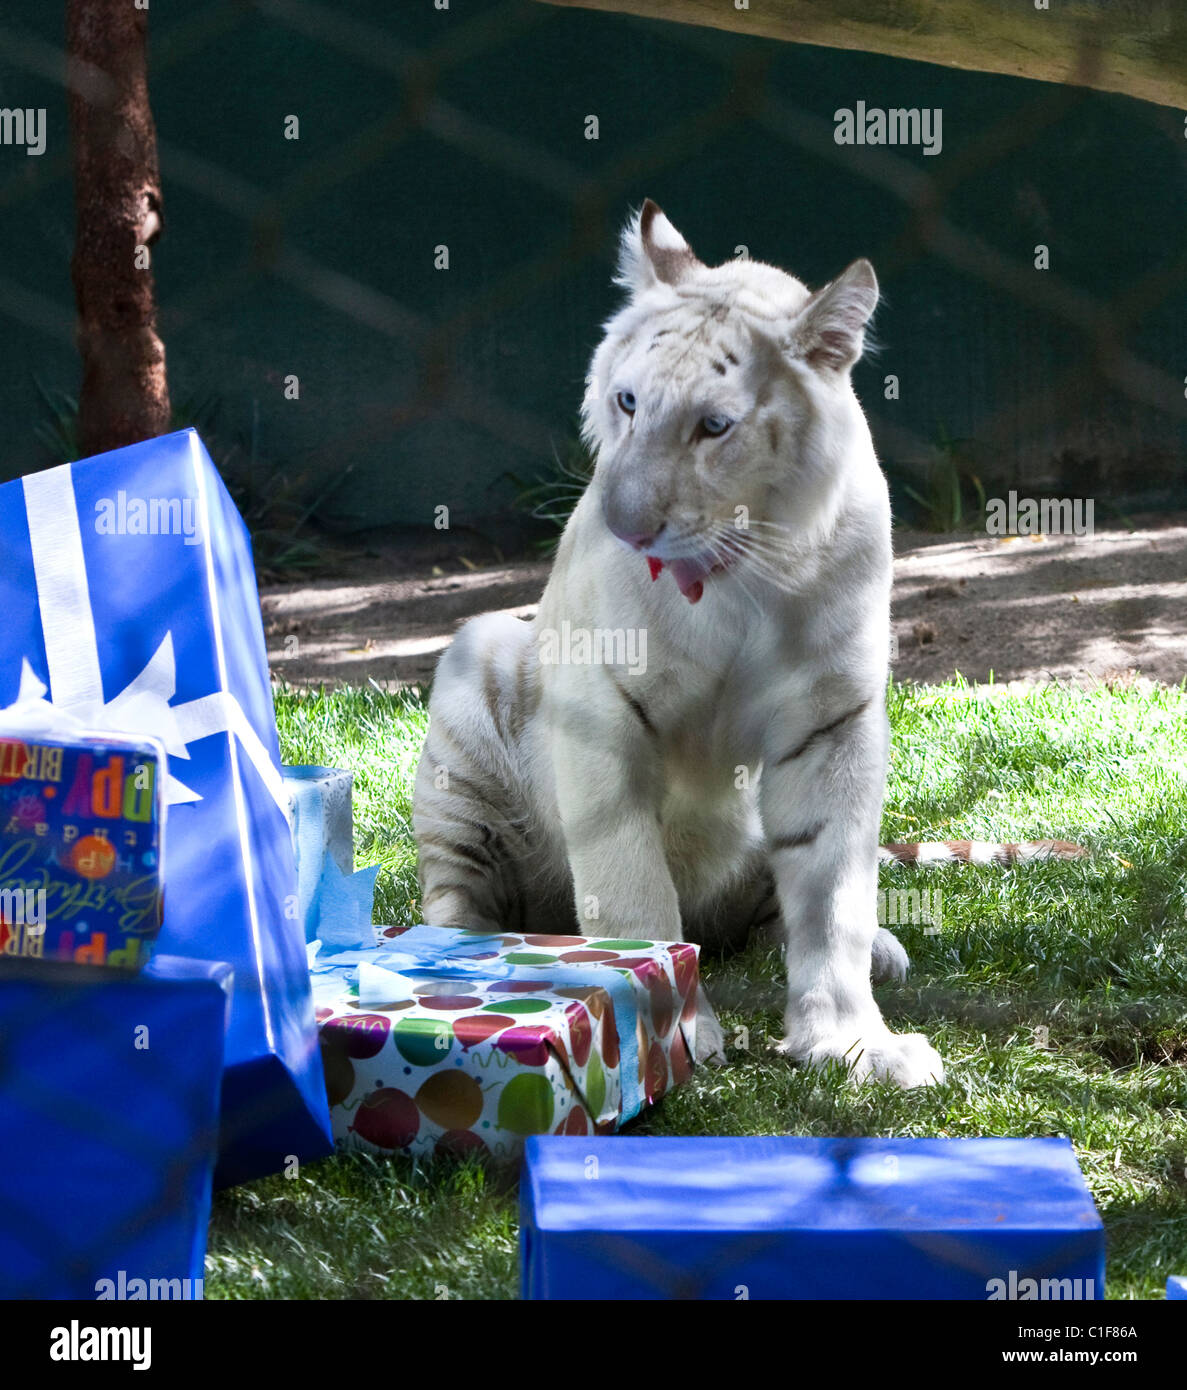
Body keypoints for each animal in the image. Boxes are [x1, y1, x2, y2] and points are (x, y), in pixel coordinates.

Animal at [412, 200, 1084, 1088]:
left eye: (713, 426)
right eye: (627, 401)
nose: (625, 524)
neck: (739, 571)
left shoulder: (830, 721)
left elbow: (830, 897)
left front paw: (851, 1041)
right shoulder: (602, 707)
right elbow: (629, 888)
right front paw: (661, 1023)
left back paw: (880, 948)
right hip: (474, 684)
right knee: (456, 896)